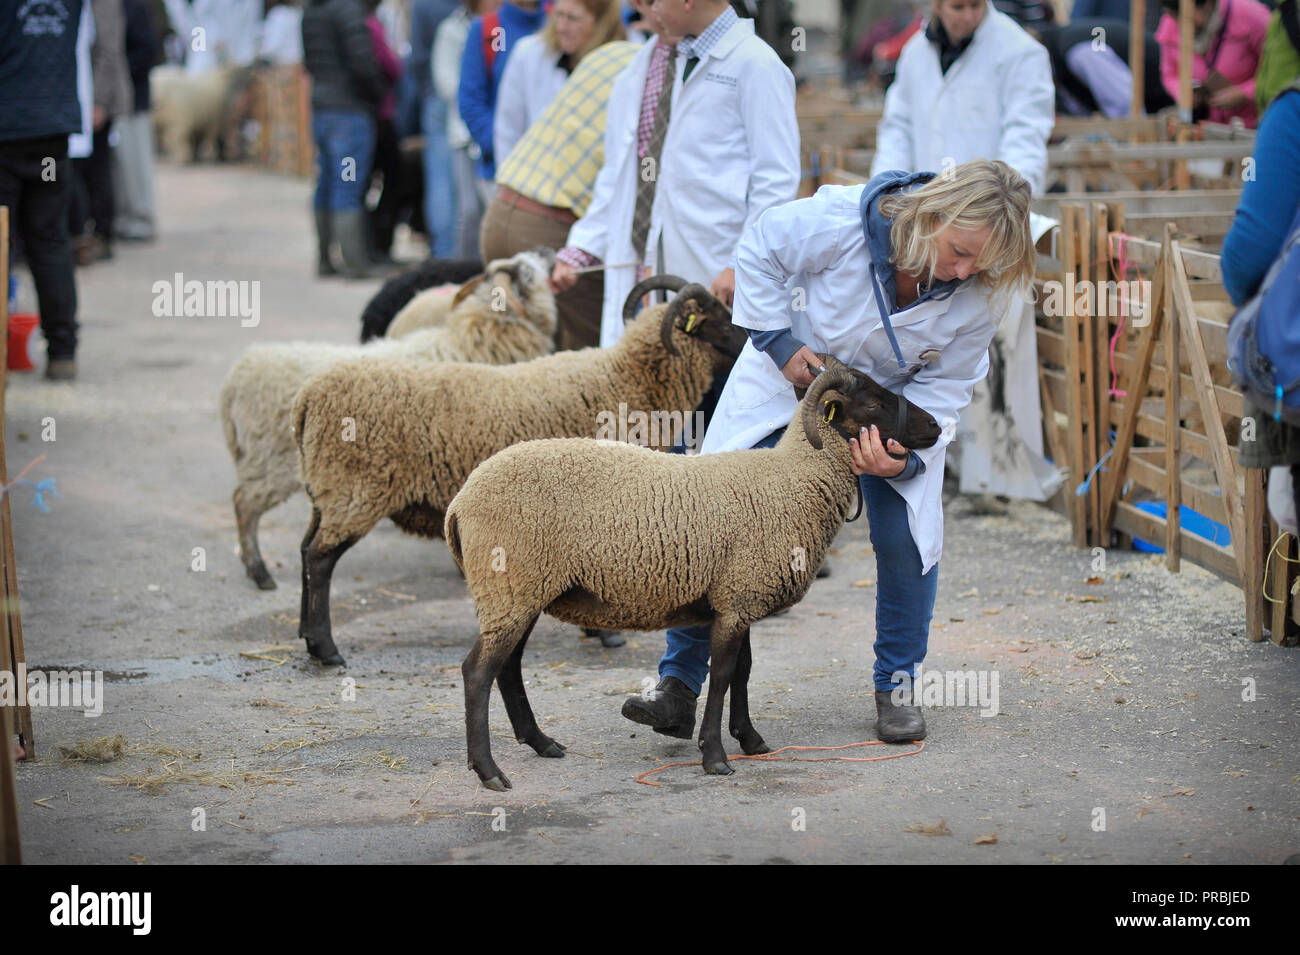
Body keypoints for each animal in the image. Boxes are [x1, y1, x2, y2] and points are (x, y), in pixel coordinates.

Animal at [221, 249, 557, 591]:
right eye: (525, 269)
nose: (547, 252)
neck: (472, 339)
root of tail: (240, 373)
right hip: (275, 460)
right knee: (244, 503)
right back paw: (259, 570)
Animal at [291, 277, 746, 666]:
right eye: (723, 319)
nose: (754, 343)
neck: (630, 380)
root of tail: (308, 397)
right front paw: (607, 635)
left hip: (327, 489)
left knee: (305, 549)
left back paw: (308, 638)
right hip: (354, 490)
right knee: (320, 558)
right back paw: (327, 650)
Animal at [443, 358, 942, 790]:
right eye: (873, 404)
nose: (936, 427)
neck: (792, 480)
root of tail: (460, 502)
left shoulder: (738, 596)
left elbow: (743, 672)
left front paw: (752, 741)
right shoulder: (738, 600)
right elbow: (721, 676)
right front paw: (715, 757)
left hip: (521, 592)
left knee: (507, 669)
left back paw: (542, 743)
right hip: (510, 585)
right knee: (478, 672)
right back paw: (489, 772)